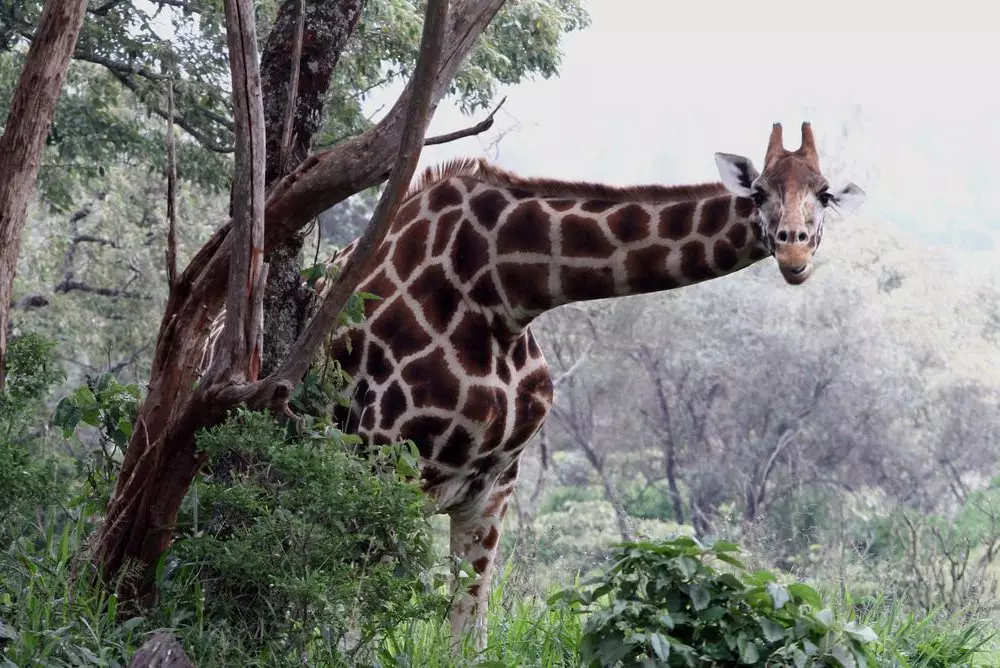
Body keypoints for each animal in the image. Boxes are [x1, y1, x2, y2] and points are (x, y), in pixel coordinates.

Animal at [199, 120, 864, 648]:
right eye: (760, 191)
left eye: (825, 195)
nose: (793, 253)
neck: (503, 289)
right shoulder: (377, 462)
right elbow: (343, 634)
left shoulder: (491, 487)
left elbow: (465, 639)